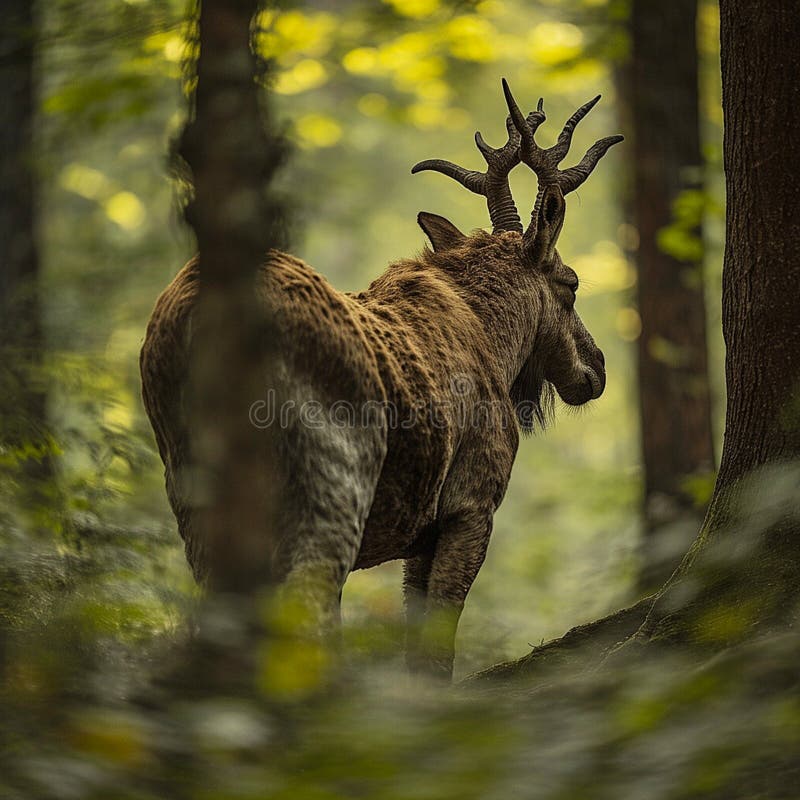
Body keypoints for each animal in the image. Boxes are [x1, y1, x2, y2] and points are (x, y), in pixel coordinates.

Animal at [140, 80, 622, 680]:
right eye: (570, 283)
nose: (597, 367)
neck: (498, 340)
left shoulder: (420, 534)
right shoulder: (471, 505)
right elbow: (437, 651)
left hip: (195, 499)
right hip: (328, 485)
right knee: (311, 611)